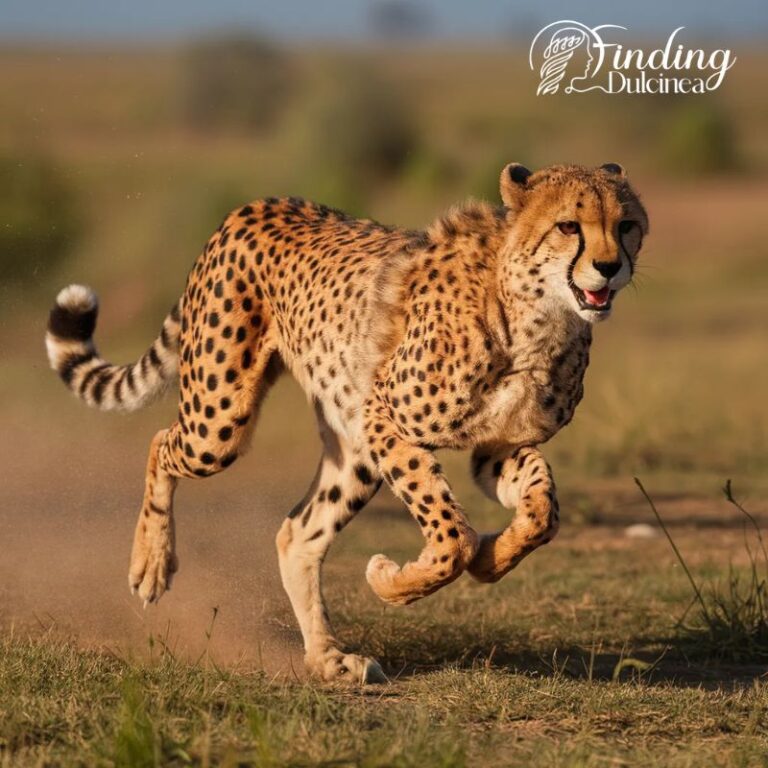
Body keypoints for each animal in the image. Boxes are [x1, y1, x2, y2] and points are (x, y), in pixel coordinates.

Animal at [46, 161, 648, 684]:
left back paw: (328, 658)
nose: (610, 266)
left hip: (351, 449)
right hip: (221, 419)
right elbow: (451, 533)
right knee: (160, 443)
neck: (539, 319)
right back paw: (151, 564)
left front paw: (490, 559)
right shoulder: (385, 415)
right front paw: (394, 583)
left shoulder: (494, 446)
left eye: (626, 225)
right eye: (568, 226)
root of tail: (255, 205)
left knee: (298, 533)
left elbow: (542, 511)